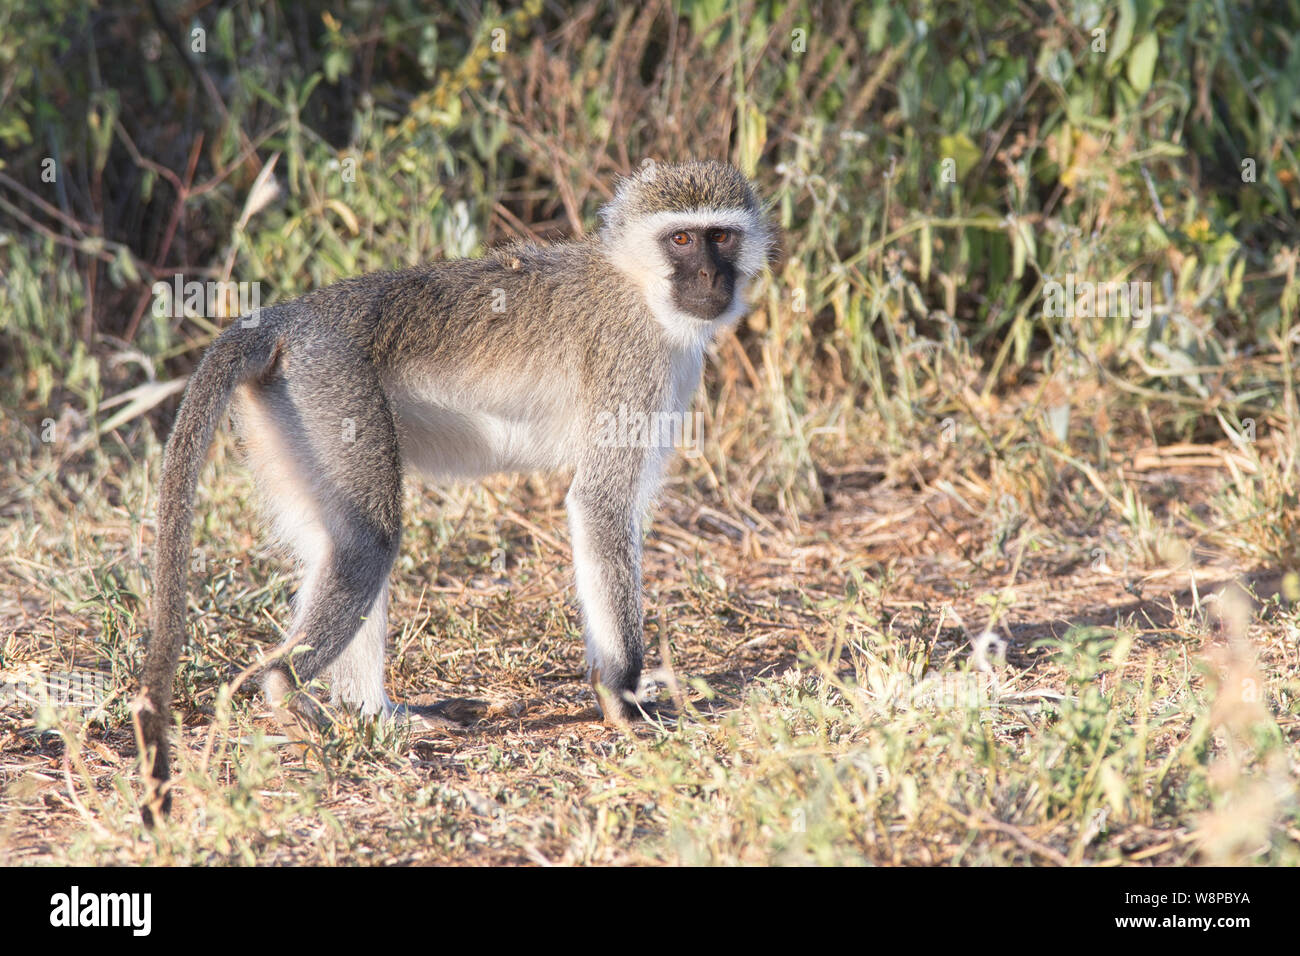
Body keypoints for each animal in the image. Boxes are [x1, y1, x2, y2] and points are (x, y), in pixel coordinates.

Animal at [138, 159, 773, 821]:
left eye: (720, 237)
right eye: (682, 239)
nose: (709, 275)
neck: (639, 287)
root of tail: (289, 318)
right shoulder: (634, 363)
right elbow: (600, 505)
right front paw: (621, 694)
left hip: (292, 412)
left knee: (340, 544)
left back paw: (377, 713)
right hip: (332, 388)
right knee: (370, 539)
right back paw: (284, 685)